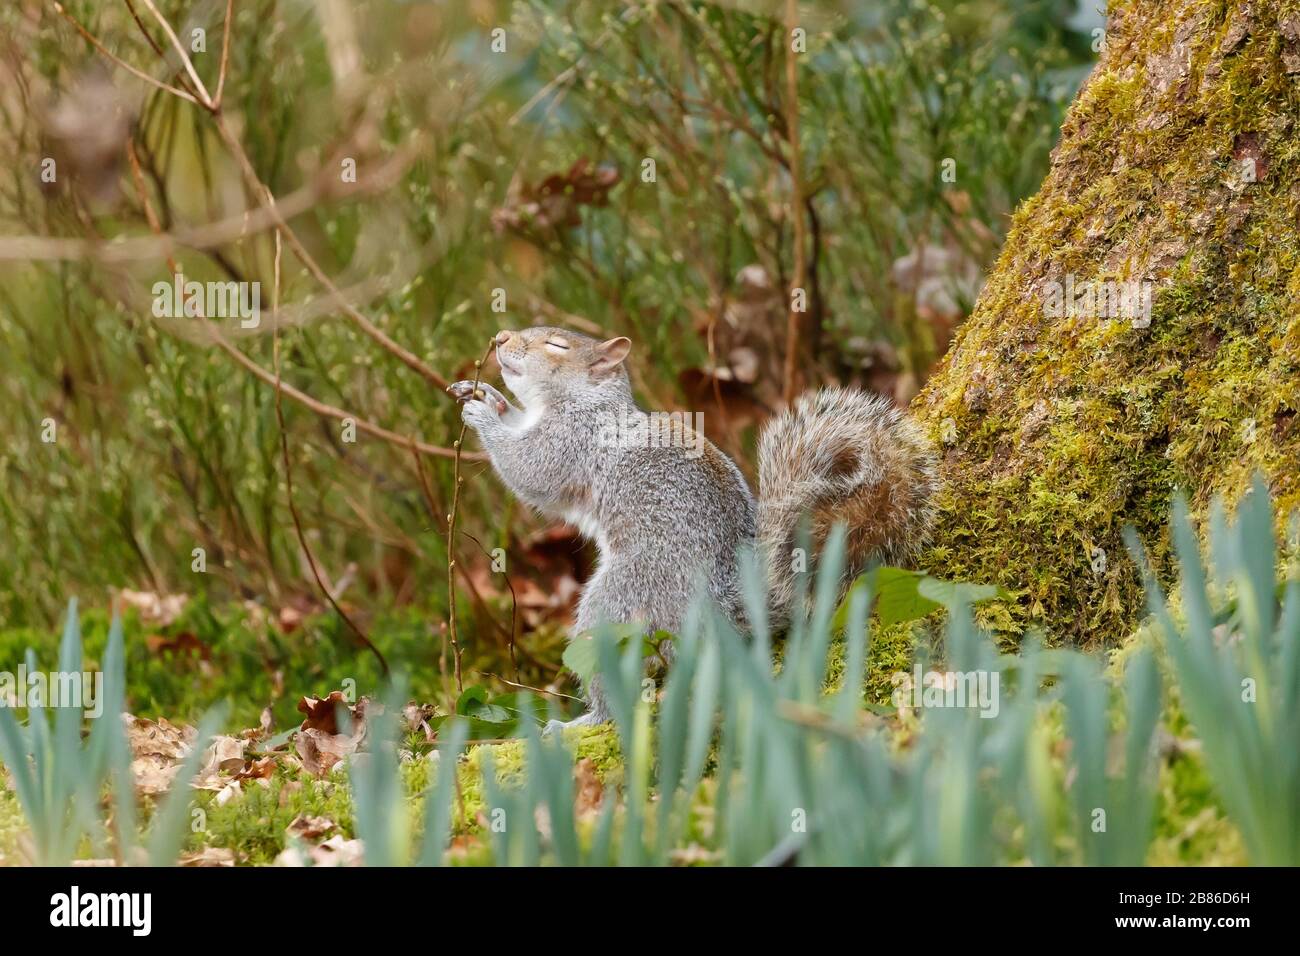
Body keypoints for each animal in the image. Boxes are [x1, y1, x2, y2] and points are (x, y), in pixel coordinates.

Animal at [449, 326, 938, 728]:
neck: (587, 402)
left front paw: (482, 415)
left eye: (557, 346)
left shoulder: (574, 440)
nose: (500, 337)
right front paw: (486, 394)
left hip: (625, 598)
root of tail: (723, 607)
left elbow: (529, 471)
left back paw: (583, 721)